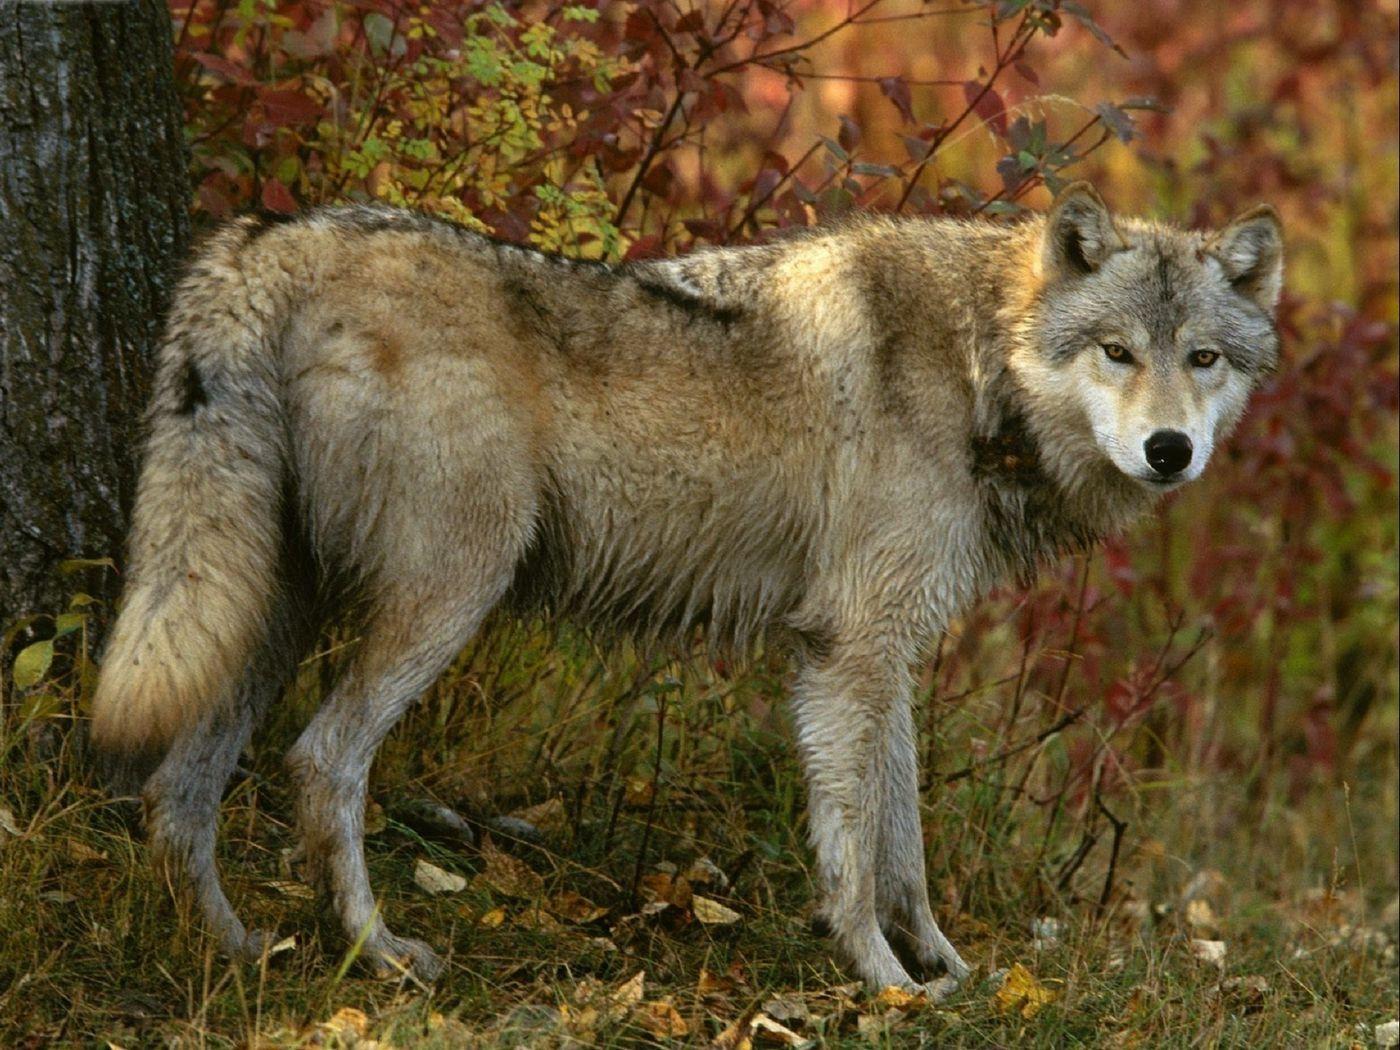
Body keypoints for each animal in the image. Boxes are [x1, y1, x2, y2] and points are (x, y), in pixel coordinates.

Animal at [90, 183, 1282, 991]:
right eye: (1117, 352)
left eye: (1205, 359)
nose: (1170, 451)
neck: (977, 364)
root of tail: (273, 236)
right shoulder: (850, 649)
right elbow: (856, 854)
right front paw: (883, 983)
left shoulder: (878, 652)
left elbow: (902, 842)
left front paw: (946, 970)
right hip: (444, 597)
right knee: (321, 761)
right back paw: (375, 955)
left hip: (266, 613)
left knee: (176, 792)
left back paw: (234, 950)